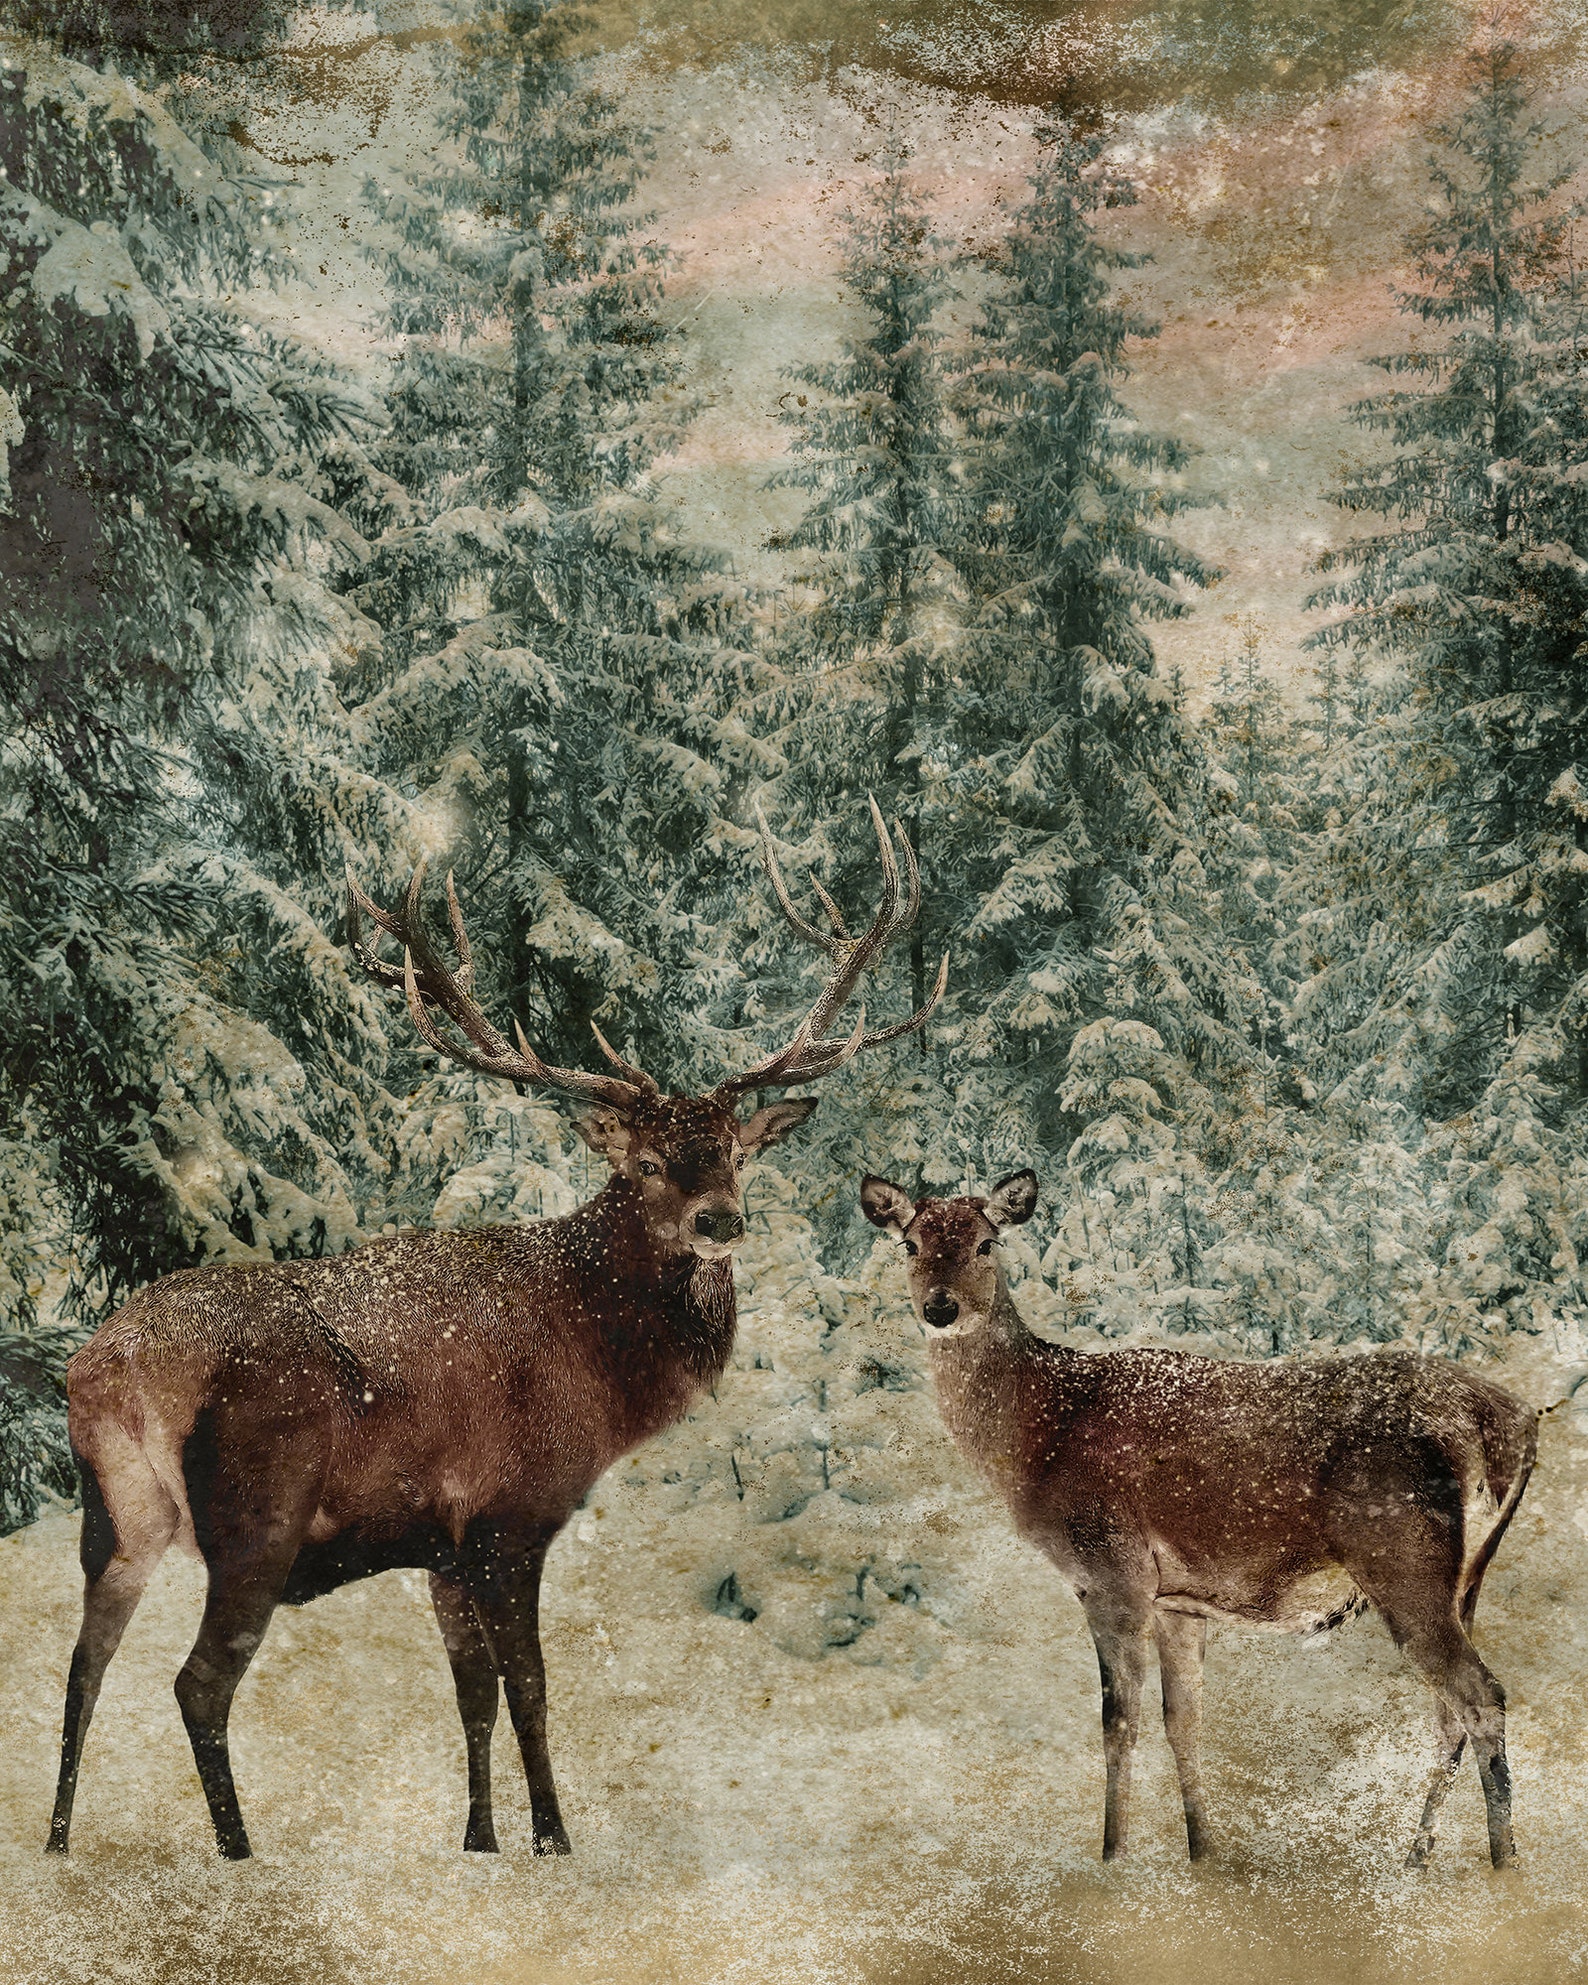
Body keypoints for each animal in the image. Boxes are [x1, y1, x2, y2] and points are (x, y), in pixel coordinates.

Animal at [45, 801, 946, 1864]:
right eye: (646, 1162)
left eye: (732, 1150)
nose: (721, 1220)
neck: (602, 1376)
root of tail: (111, 1365)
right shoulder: (514, 1514)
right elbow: (532, 1689)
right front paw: (555, 1840)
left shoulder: (443, 1544)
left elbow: (470, 1694)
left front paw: (479, 1841)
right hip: (256, 1512)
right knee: (196, 1682)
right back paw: (239, 1854)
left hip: (115, 1518)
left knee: (83, 1663)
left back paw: (56, 1842)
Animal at [860, 1170, 1538, 1872]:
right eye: (910, 1245)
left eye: (987, 1243)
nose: (940, 1309)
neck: (1040, 1436)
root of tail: (1512, 1420)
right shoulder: (1177, 1600)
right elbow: (1183, 1722)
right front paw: (1202, 1857)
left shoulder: (1111, 1571)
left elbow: (1118, 1723)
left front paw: (1112, 1860)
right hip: (1465, 1576)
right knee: (1449, 1711)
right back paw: (1416, 1860)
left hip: (1400, 1556)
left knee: (1479, 1696)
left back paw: (1502, 1866)